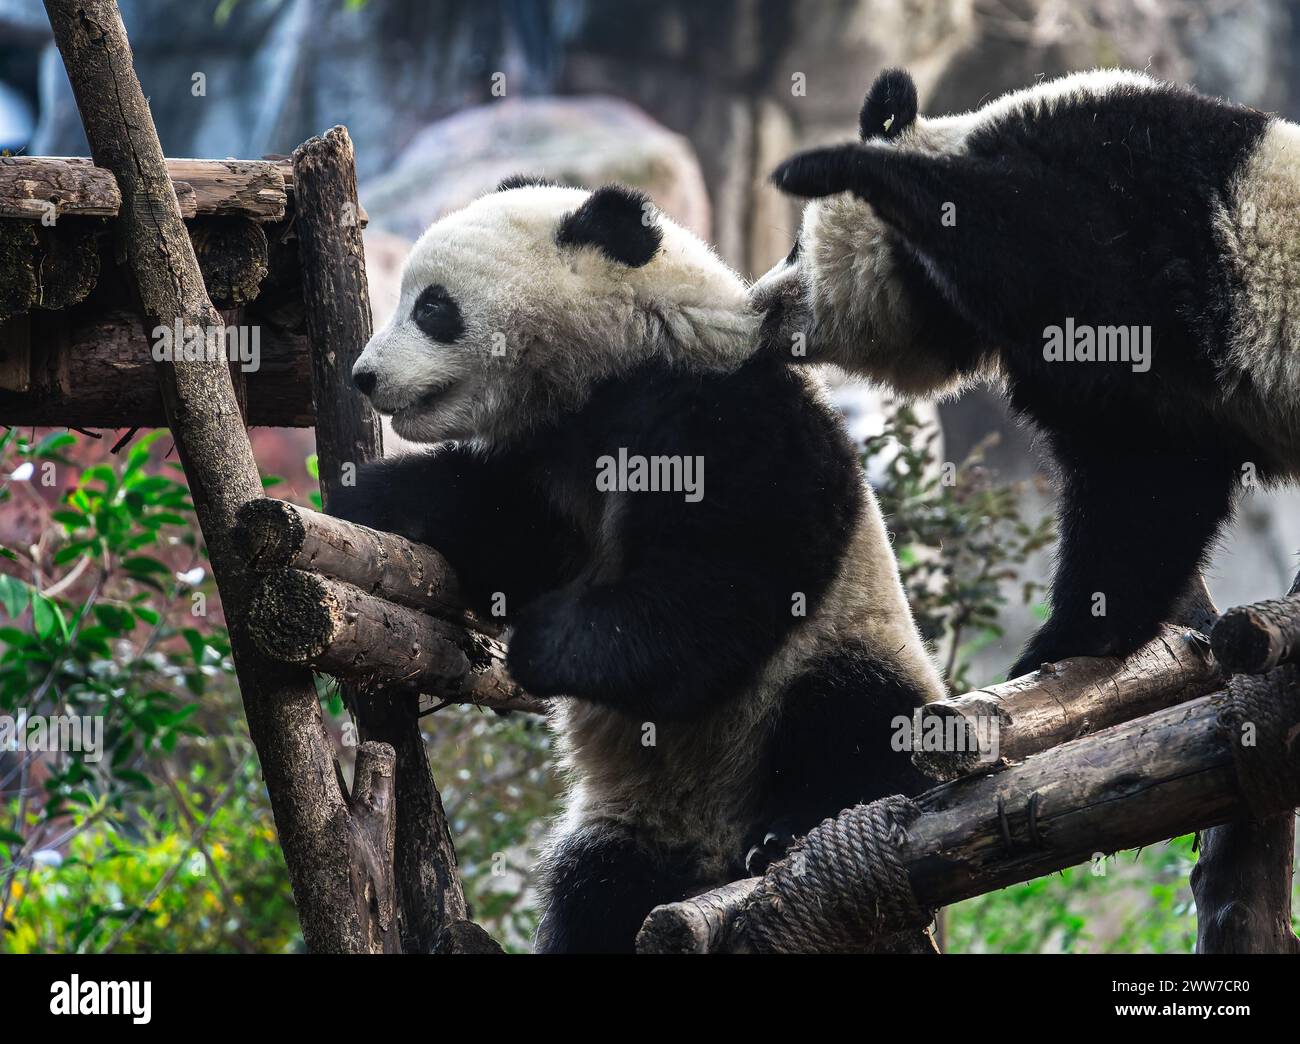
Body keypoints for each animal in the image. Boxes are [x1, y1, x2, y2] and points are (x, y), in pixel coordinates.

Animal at [335, 176, 946, 953]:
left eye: (433, 307)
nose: (364, 377)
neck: (626, 352)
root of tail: (710, 852)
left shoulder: (728, 413)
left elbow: (718, 592)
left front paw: (545, 646)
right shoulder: (552, 458)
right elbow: (506, 533)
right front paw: (369, 495)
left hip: (839, 661)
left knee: (853, 715)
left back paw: (788, 834)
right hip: (630, 820)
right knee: (594, 890)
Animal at [754, 68, 1300, 679]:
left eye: (796, 245)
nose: (760, 303)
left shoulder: (1133, 202)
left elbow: (1061, 248)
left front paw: (829, 166)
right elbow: (1149, 481)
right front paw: (1091, 633)